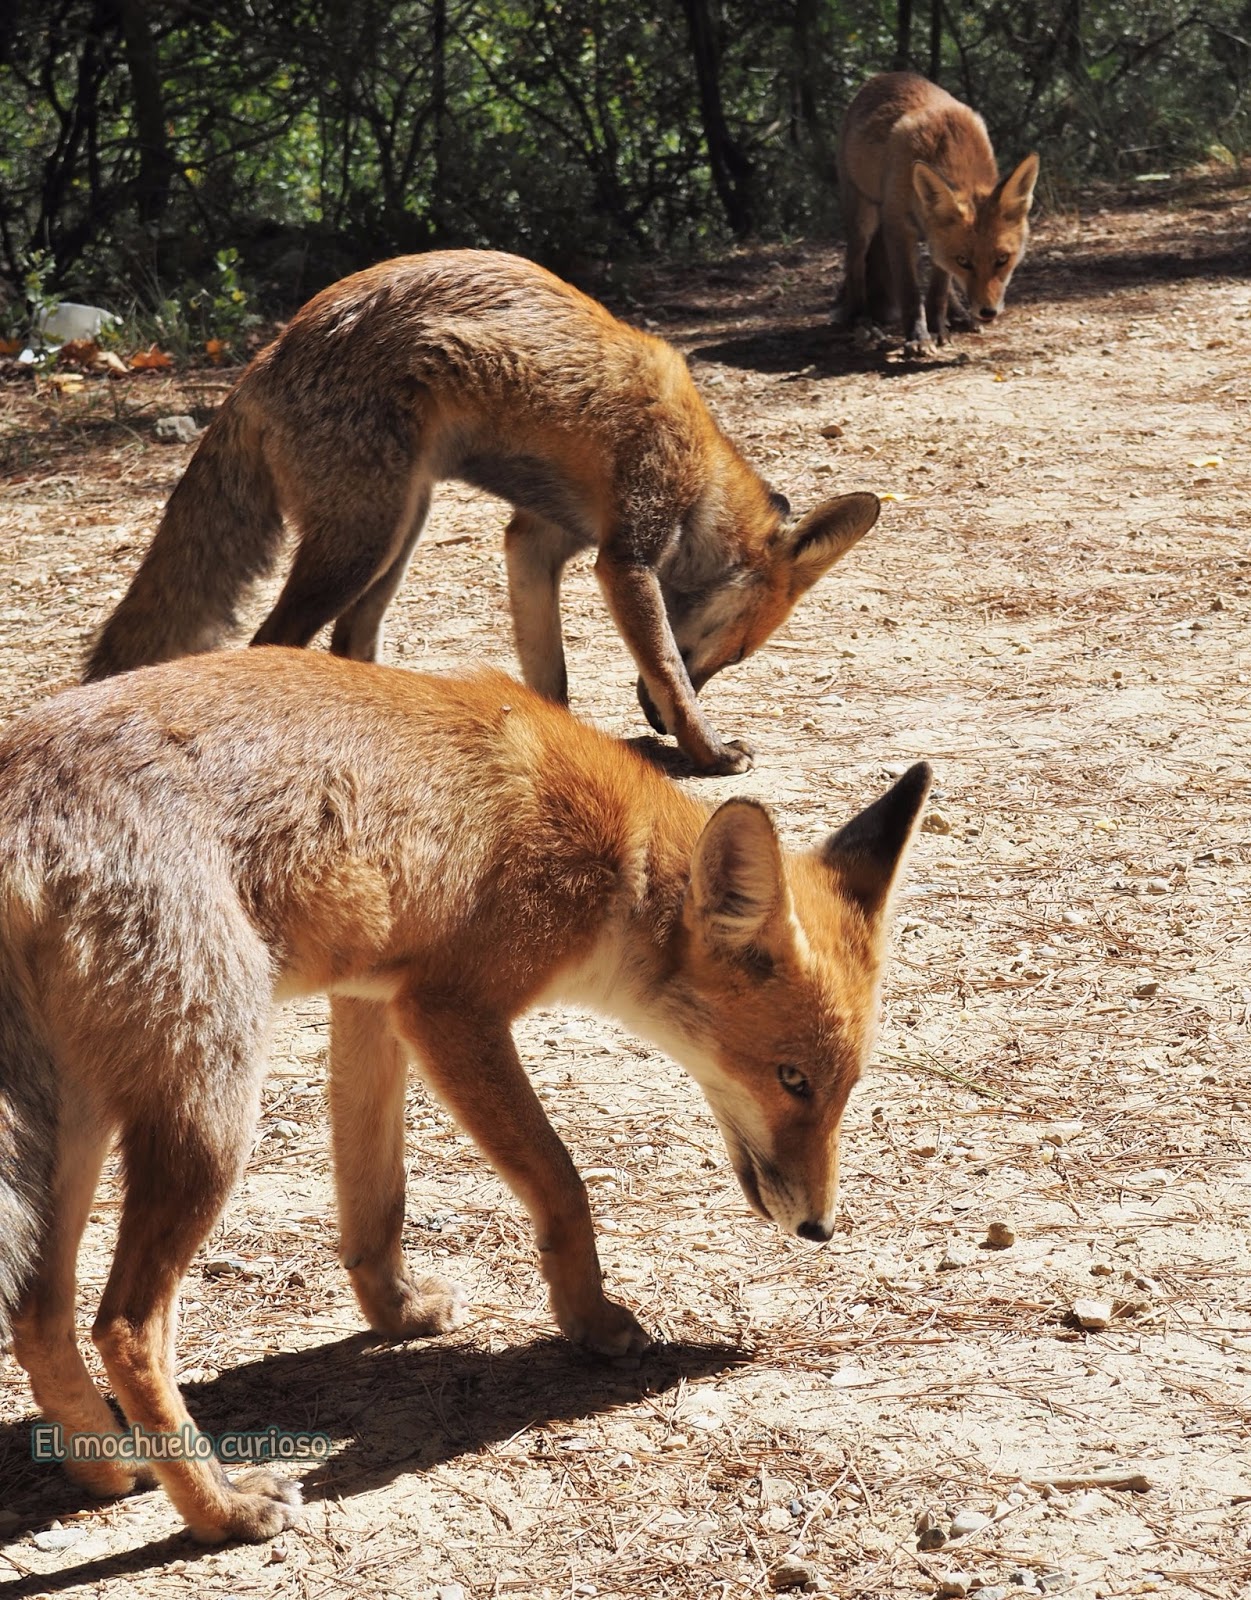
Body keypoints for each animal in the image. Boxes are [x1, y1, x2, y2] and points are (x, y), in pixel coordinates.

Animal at [0, 648, 929, 1543]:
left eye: (844, 1088)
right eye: (791, 1079)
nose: (819, 1228)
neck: (612, 856)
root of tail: (19, 793)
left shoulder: (375, 1003)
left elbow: (375, 1200)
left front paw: (394, 1312)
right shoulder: (451, 1012)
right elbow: (563, 1185)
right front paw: (590, 1322)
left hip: (82, 1123)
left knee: (38, 1311)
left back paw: (105, 1468)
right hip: (212, 1111)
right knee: (123, 1326)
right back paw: (219, 1511)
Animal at [83, 249, 881, 776]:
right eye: (739, 651)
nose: (649, 721)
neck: (702, 485)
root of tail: (266, 354)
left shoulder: (533, 542)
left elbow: (551, 676)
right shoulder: (625, 559)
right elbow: (664, 669)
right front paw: (705, 749)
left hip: (401, 531)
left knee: (348, 642)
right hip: (363, 541)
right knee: (272, 641)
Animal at [835, 72, 1040, 356]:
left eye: (1002, 259)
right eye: (964, 261)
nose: (987, 312)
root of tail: (885, 76)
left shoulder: (940, 243)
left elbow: (939, 291)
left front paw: (939, 329)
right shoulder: (897, 227)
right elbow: (910, 292)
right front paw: (918, 337)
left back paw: (958, 315)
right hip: (862, 218)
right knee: (855, 267)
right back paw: (862, 322)